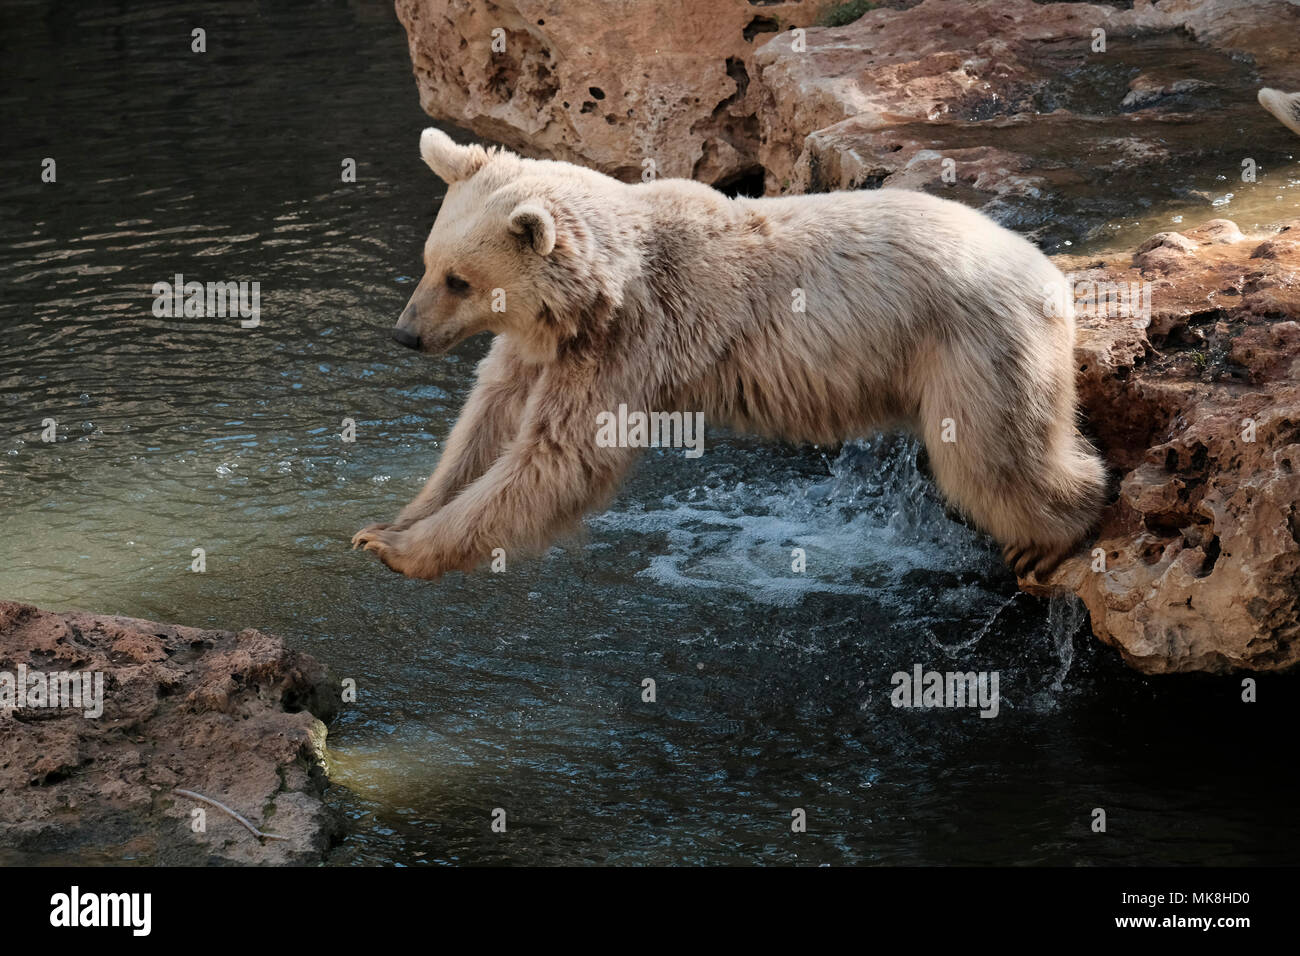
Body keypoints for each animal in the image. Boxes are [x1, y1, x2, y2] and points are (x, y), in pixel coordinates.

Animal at [352, 127, 1107, 581]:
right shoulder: (545, 345)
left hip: (969, 344)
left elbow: (558, 458)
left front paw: (401, 550)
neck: (600, 294)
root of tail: (1047, 270)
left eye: (459, 279)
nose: (405, 334)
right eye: (429, 263)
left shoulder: (633, 343)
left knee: (988, 455)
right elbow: (489, 415)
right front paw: (390, 521)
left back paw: (1055, 532)